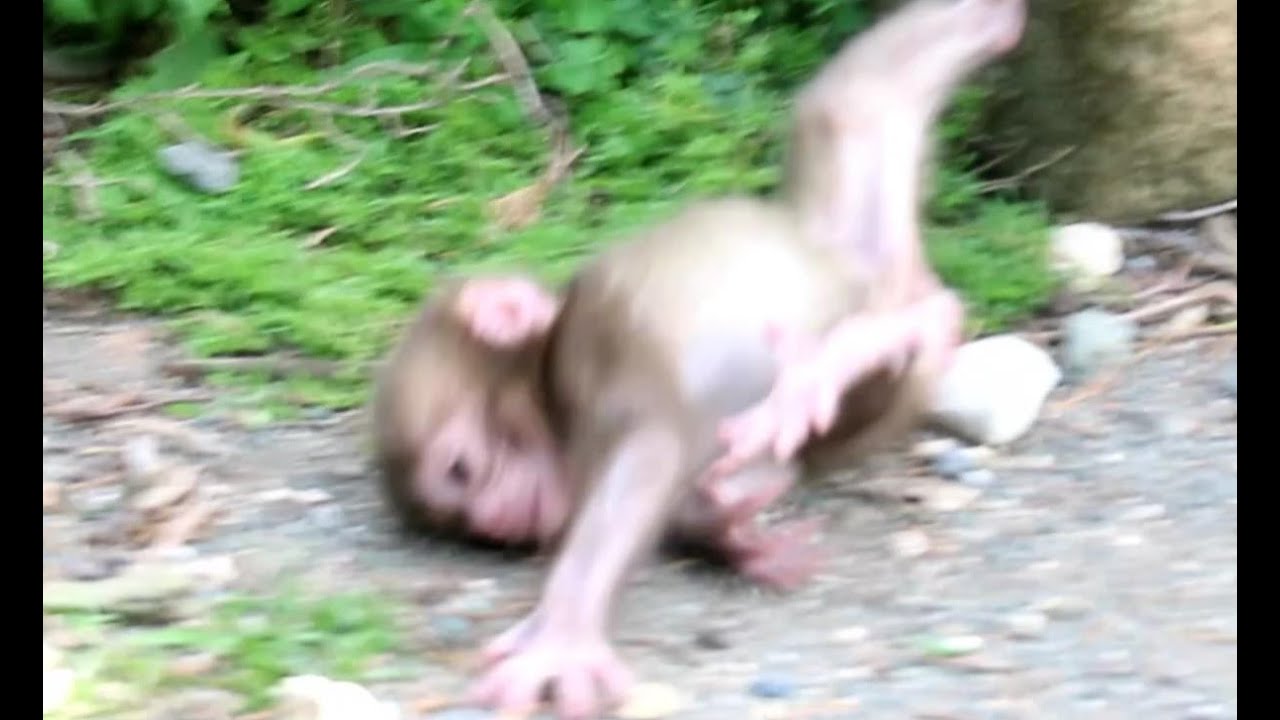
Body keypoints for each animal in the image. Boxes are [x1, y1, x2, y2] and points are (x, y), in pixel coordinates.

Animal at [464, 1, 1028, 718]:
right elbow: (696, 508)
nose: (489, 515)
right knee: (852, 106)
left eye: (462, 467)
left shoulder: (610, 377)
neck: (554, 372)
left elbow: (631, 490)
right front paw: (743, 544)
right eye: (464, 512)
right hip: (860, 189)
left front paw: (561, 636)